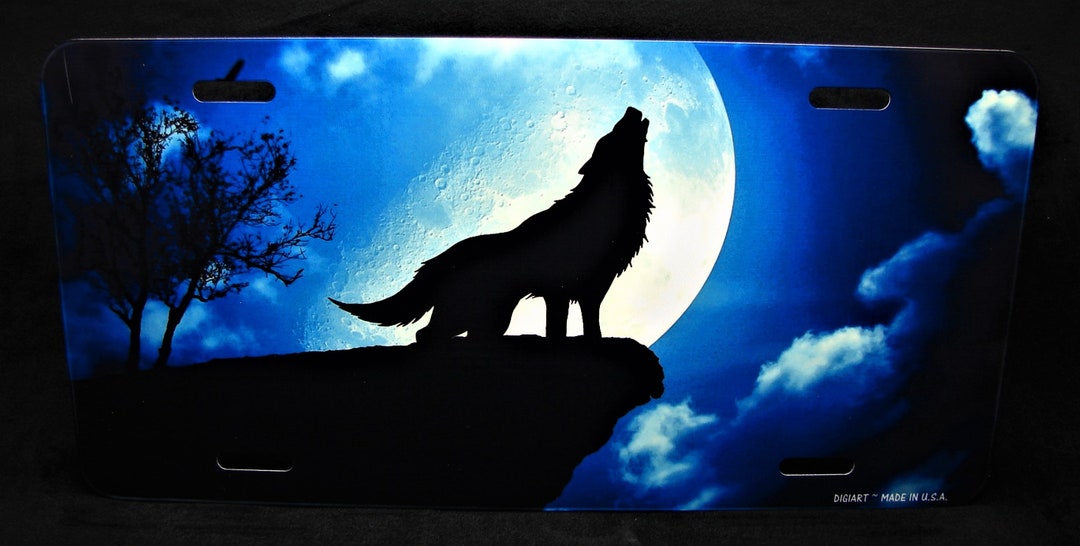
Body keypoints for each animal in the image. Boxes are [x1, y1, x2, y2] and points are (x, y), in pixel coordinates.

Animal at [331, 106, 652, 343]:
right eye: (614, 131)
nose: (631, 108)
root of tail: (440, 259)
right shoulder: (558, 292)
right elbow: (558, 330)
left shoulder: (591, 290)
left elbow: (589, 327)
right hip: (467, 313)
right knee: (425, 335)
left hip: (491, 317)